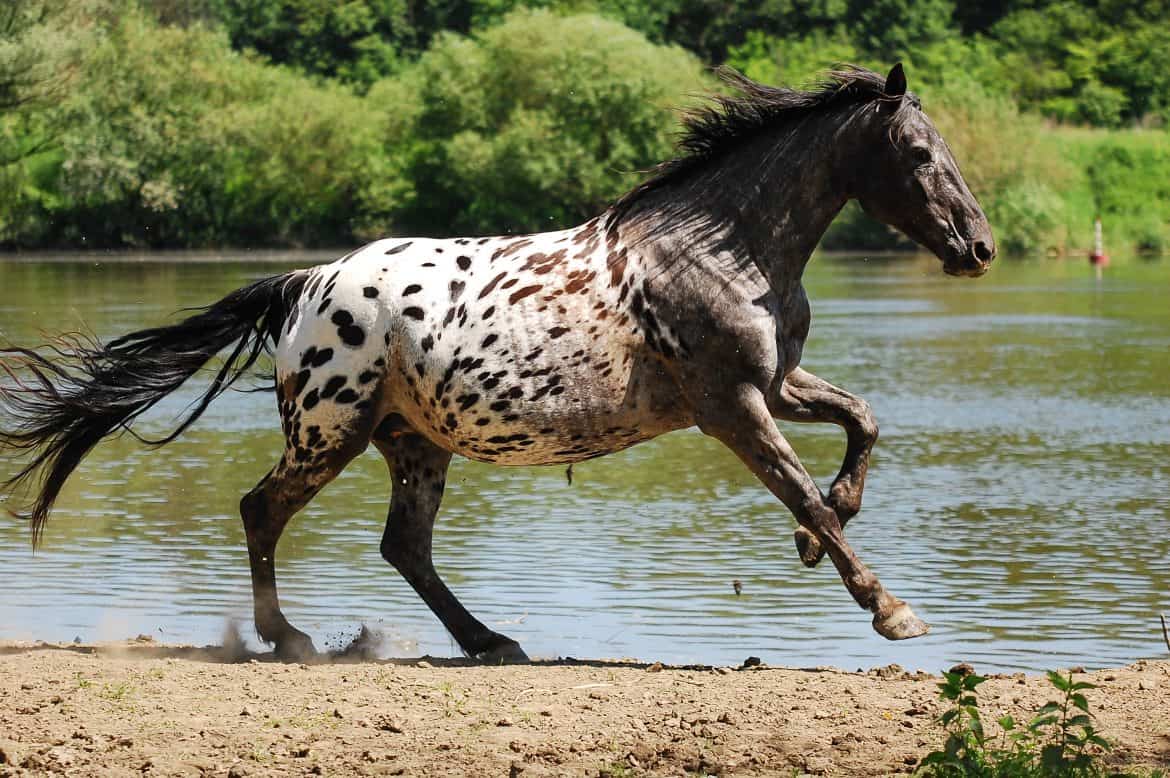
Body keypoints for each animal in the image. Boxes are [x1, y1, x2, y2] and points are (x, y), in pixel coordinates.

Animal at [0, 64, 994, 662]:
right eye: (917, 152)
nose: (979, 248)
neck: (722, 249)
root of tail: (306, 282)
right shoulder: (730, 406)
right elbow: (803, 491)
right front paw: (891, 610)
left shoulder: (775, 386)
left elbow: (863, 424)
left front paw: (821, 532)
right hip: (331, 430)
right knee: (262, 510)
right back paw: (291, 639)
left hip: (412, 442)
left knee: (402, 546)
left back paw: (486, 642)